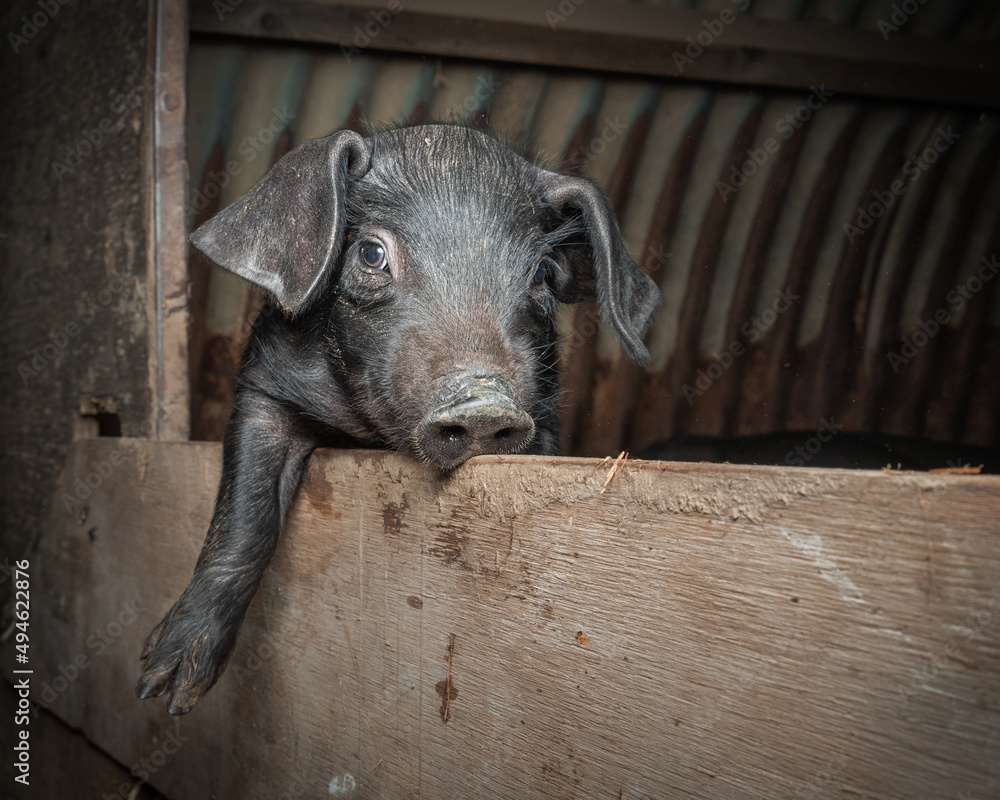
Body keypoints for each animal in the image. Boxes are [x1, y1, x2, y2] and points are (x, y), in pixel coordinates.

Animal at [135, 123, 660, 714]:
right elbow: (244, 513)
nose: (483, 399)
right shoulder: (264, 388)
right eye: (370, 252)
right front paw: (163, 686)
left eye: (542, 273)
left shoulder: (542, 422)